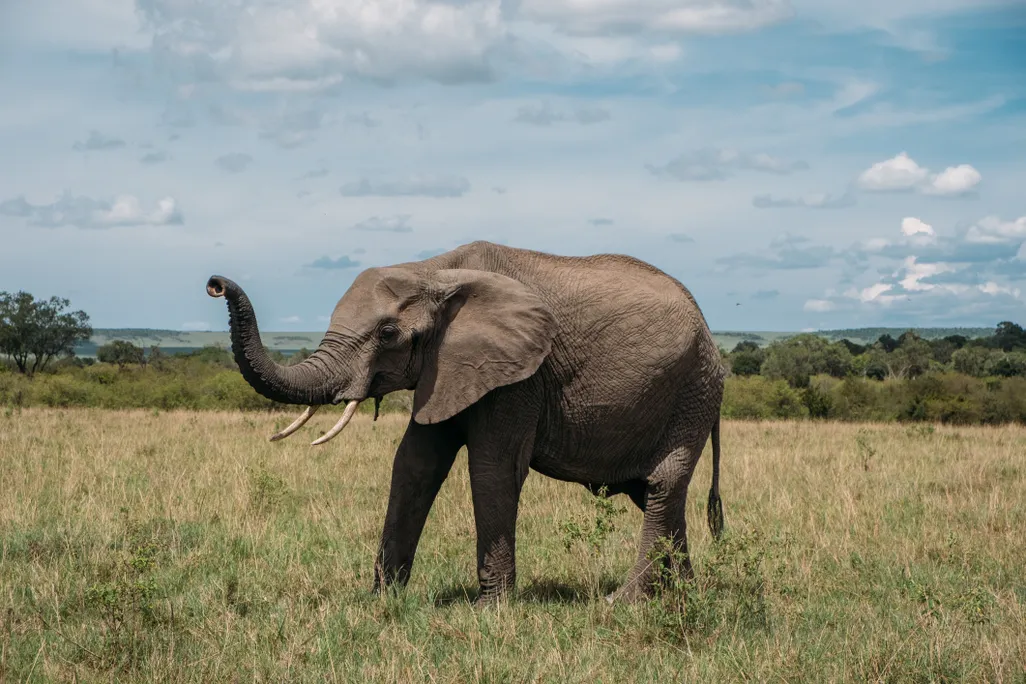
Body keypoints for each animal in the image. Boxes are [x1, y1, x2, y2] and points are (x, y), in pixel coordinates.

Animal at [205, 240, 726, 603]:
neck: (435, 269)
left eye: (388, 333)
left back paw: (625, 602)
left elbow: (492, 468)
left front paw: (490, 610)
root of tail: (707, 327)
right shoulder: (448, 366)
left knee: (662, 484)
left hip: (692, 390)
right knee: (657, 494)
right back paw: (682, 595)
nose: (214, 283)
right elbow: (415, 464)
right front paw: (381, 602)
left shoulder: (521, 374)